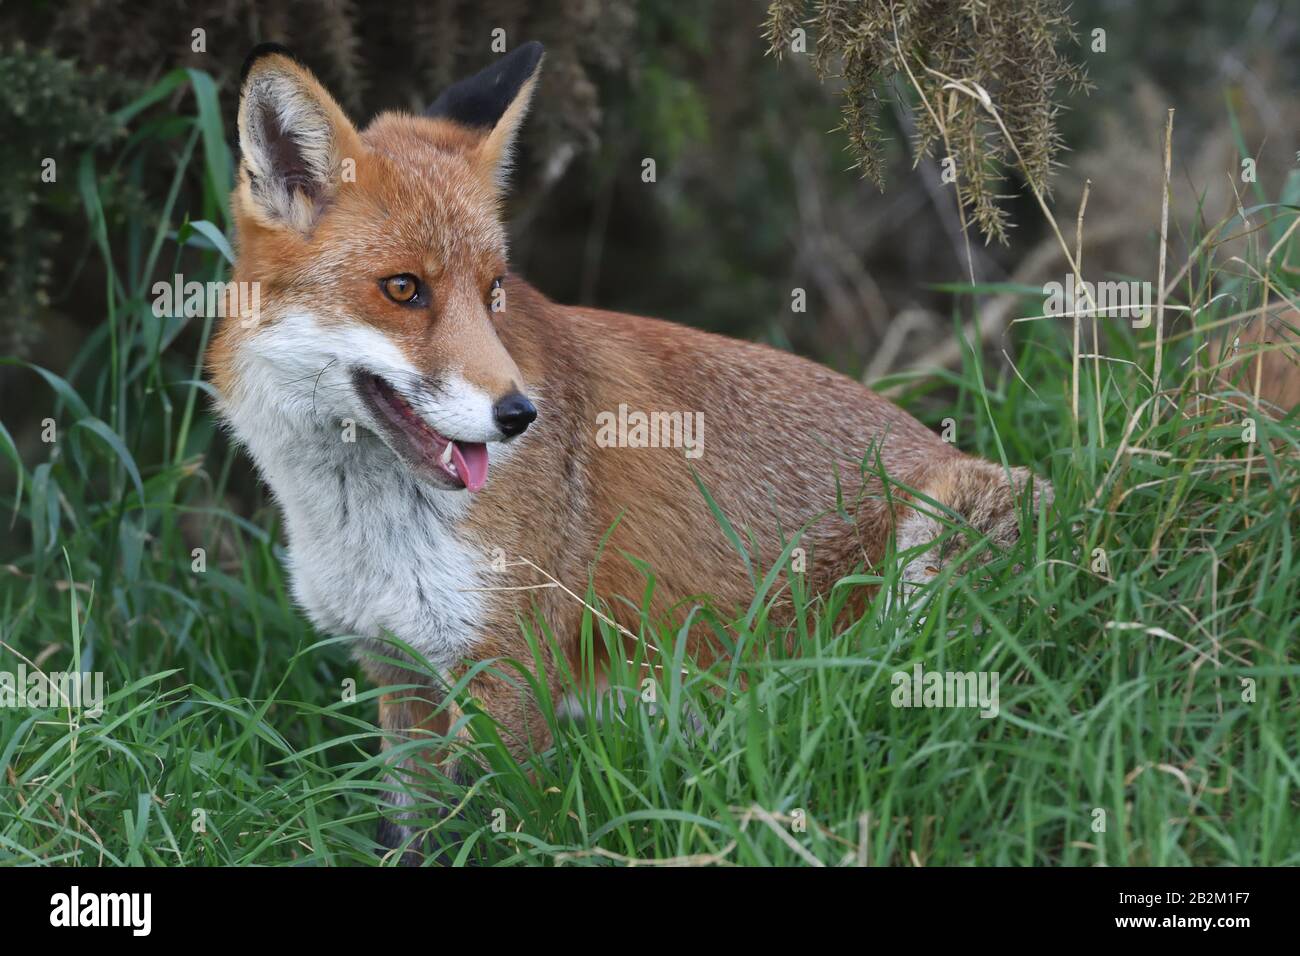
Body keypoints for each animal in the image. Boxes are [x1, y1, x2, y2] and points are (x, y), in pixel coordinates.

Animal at [209, 41, 1052, 859]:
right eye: (403, 289)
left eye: (493, 291)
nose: (519, 415)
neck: (366, 527)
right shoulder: (399, 670)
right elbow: (407, 832)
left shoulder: (507, 667)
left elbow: (475, 831)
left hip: (941, 548)